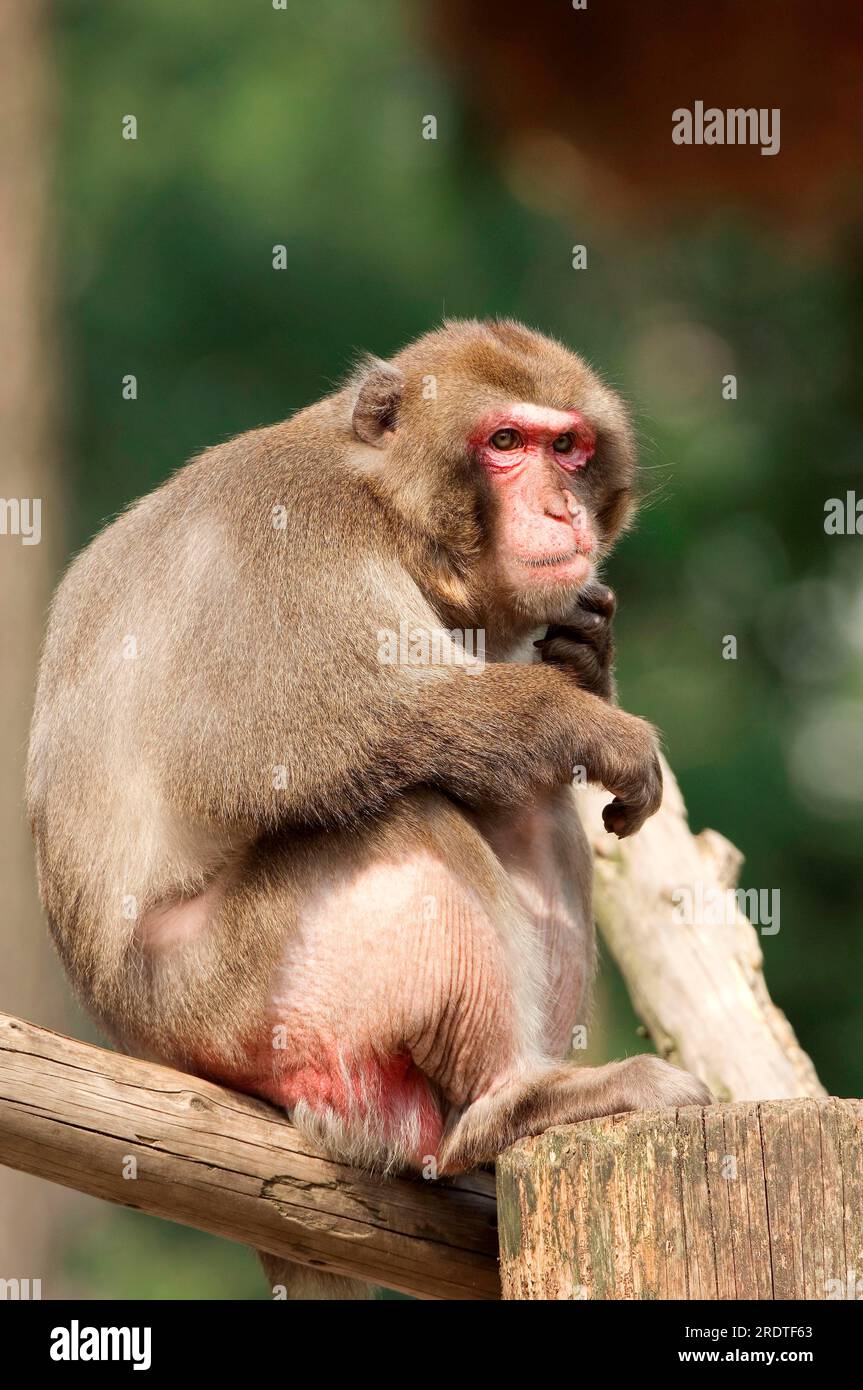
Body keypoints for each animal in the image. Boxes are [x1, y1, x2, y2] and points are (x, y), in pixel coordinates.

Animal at [26, 318, 710, 1299]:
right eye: (506, 442)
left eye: (569, 448)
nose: (563, 514)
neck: (385, 506)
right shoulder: (287, 542)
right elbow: (291, 740)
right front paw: (595, 723)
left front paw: (586, 658)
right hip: (219, 995)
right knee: (404, 813)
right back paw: (512, 1100)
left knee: (524, 803)